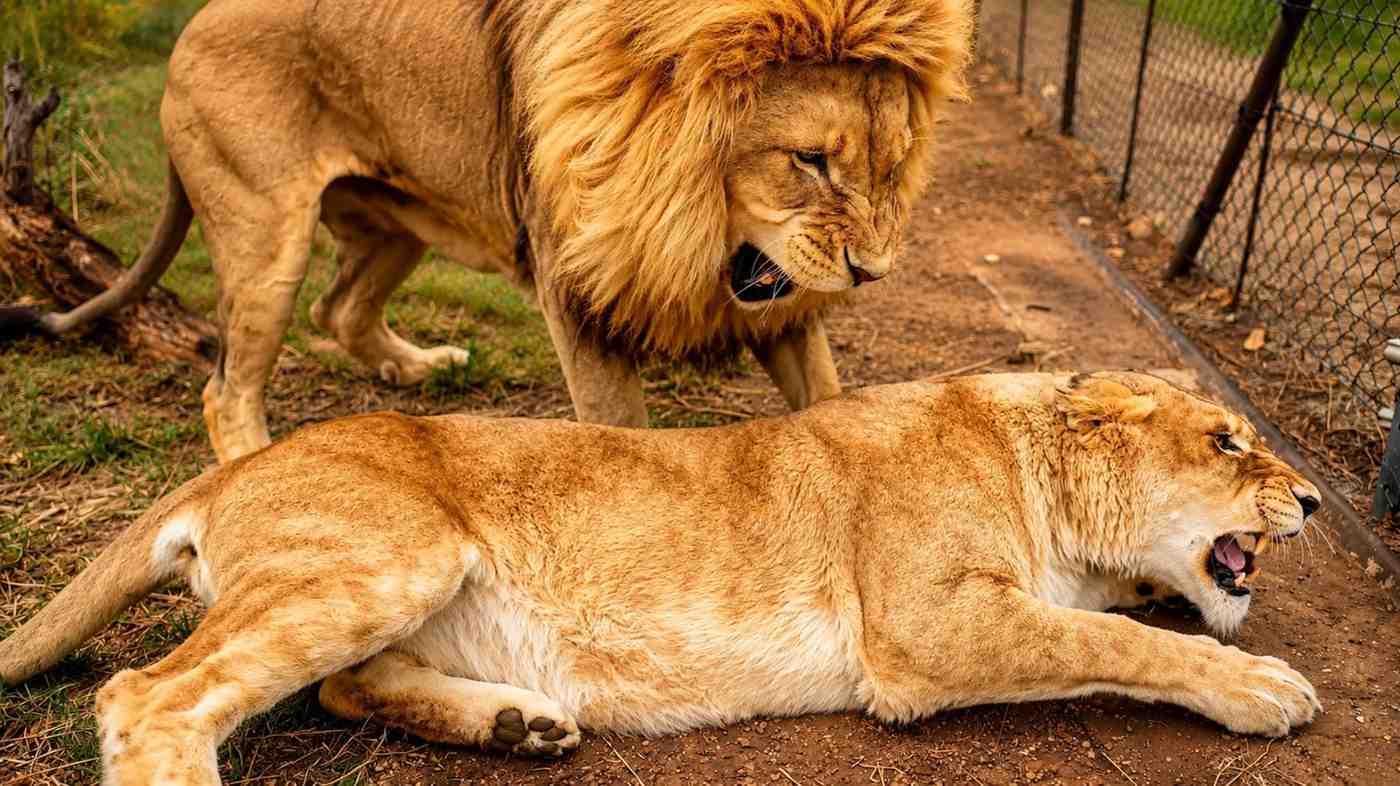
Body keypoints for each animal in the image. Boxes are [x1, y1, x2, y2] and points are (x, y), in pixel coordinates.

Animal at [0, 371, 1323, 784]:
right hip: (390, 552)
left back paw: (520, 723)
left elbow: (1122, 619)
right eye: (1226, 442)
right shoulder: (918, 631)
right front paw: (1261, 685)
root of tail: (237, 463)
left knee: (339, 687)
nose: (1311, 501)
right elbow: (1118, 642)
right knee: (147, 696)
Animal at [13, 0, 973, 462]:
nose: (871, 272)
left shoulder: (780, 304)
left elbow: (830, 399)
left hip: (395, 226)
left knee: (339, 312)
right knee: (227, 389)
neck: (697, 224)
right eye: (808, 161)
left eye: (893, 165)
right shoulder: (580, 291)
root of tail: (189, 28)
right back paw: (253, 461)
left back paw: (425, 369)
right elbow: (622, 432)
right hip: (264, 238)